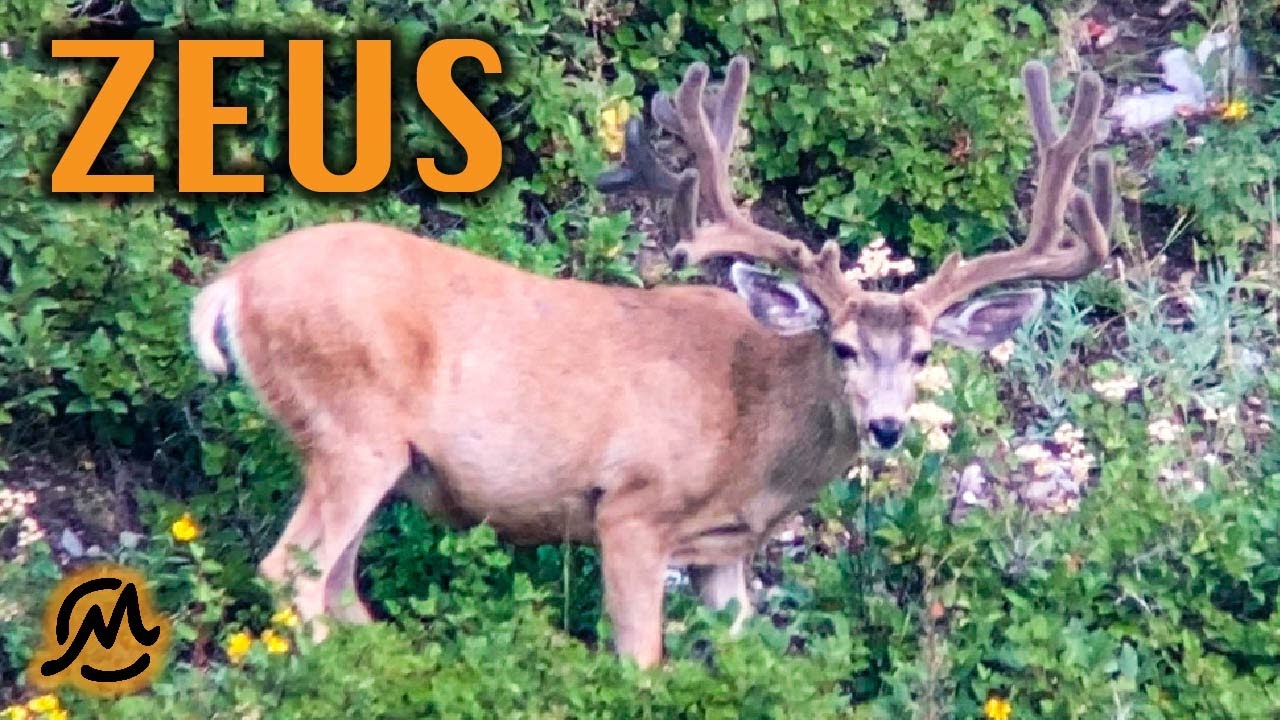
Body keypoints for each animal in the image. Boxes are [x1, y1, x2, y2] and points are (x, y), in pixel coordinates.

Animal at [189, 55, 1113, 669]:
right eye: (841, 344)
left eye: (922, 353)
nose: (885, 427)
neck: (754, 435)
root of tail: (232, 283)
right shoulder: (630, 511)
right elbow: (642, 663)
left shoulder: (724, 551)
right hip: (352, 429)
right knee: (290, 569)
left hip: (375, 455)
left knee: (339, 583)